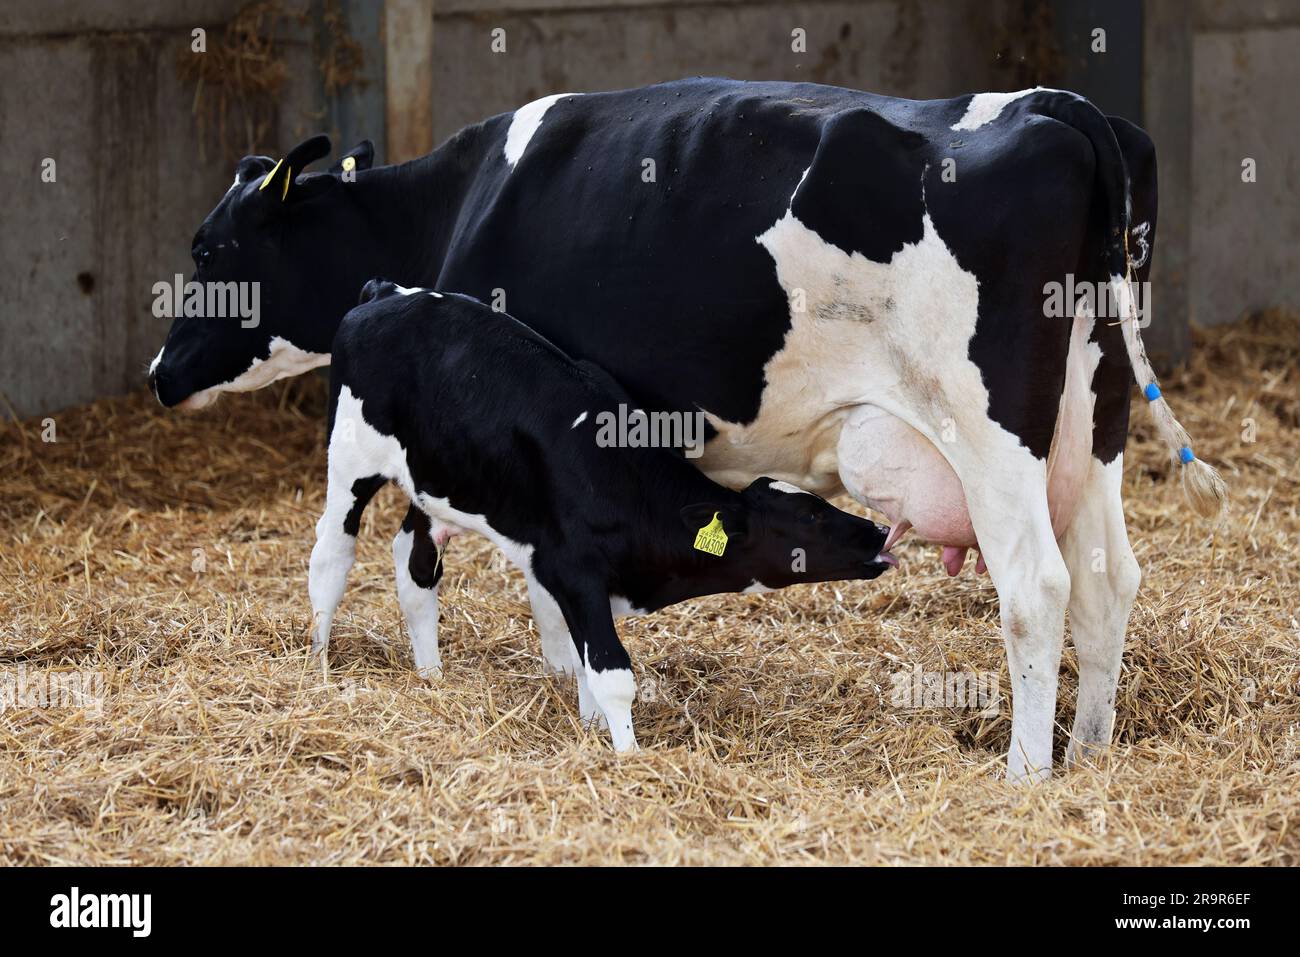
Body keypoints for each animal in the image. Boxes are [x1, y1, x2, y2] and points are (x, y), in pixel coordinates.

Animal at [310, 279, 896, 750]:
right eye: (810, 520)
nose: (879, 532)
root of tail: (389, 293)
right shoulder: (575, 571)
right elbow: (612, 672)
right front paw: (627, 756)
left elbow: (584, 662)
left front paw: (592, 731)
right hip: (350, 458)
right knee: (330, 556)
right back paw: (318, 660)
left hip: (436, 482)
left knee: (415, 564)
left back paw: (430, 675)